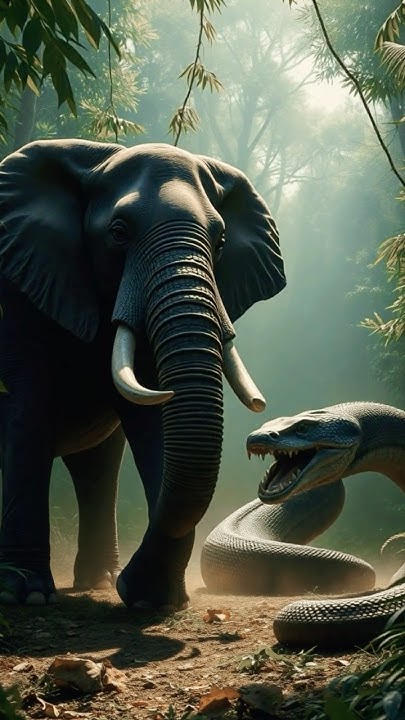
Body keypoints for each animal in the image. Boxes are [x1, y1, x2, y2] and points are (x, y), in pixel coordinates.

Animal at [0, 139, 285, 608]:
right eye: (118, 232)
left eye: (221, 240)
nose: (127, 585)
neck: (98, 158)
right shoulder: (17, 291)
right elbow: (26, 412)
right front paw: (25, 594)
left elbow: (158, 424)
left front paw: (152, 599)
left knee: (96, 467)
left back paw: (100, 579)